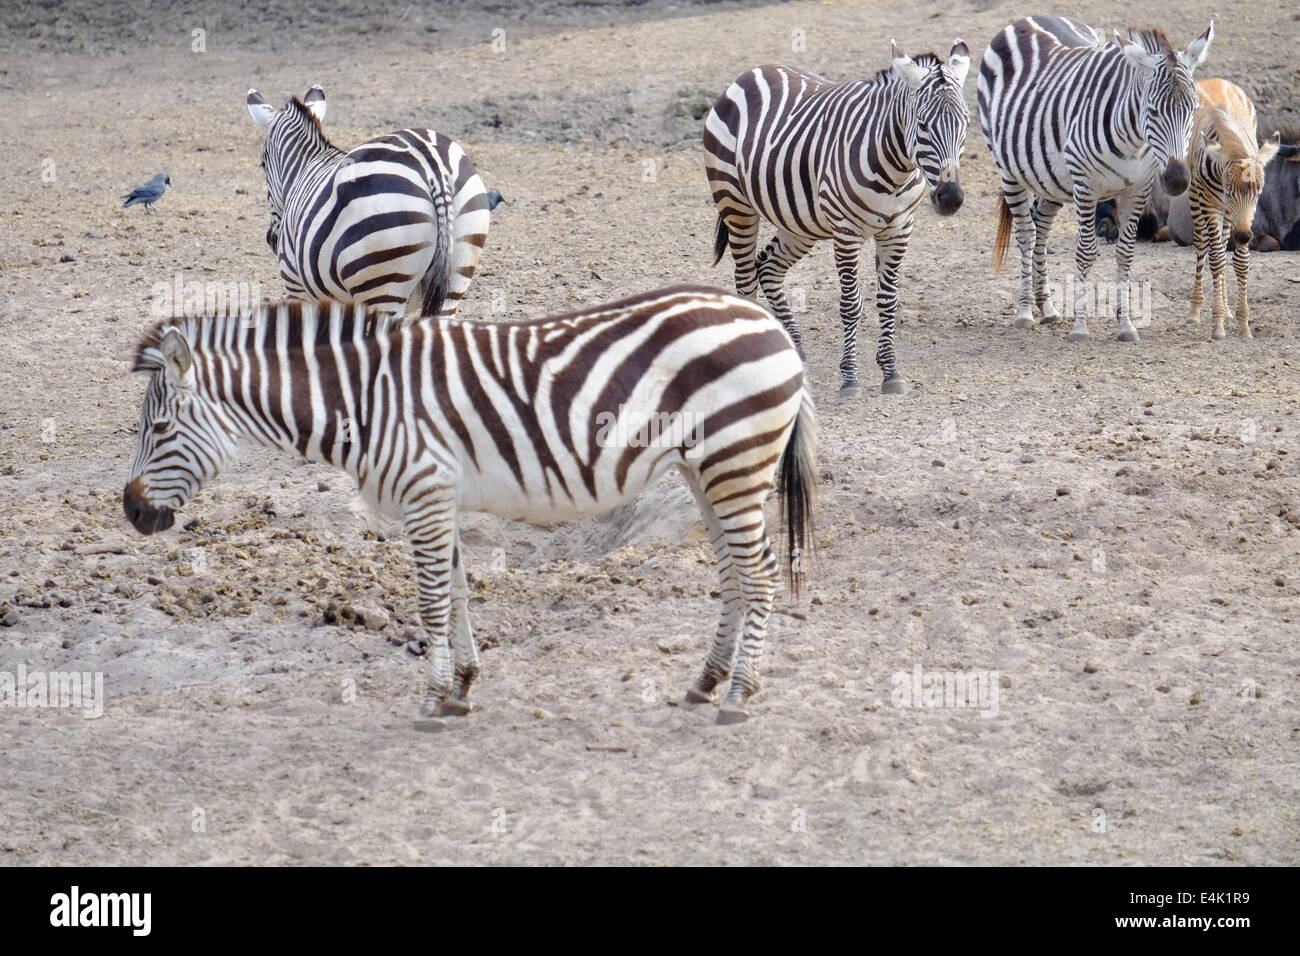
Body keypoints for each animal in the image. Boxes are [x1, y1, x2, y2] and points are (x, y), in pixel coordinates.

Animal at [122, 288, 817, 727]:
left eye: (157, 429)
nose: (130, 513)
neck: (365, 401)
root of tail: (767, 321)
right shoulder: (439, 497)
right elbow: (455, 590)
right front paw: (461, 687)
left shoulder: (424, 492)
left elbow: (430, 600)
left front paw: (432, 701)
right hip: (710, 470)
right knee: (734, 573)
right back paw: (706, 682)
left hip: (735, 461)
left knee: (758, 575)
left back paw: (738, 696)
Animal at [245, 85, 499, 320]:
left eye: (262, 163)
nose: (271, 239)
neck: (306, 166)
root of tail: (430, 161)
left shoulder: (295, 284)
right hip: (456, 275)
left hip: (382, 284)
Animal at [704, 40, 972, 397]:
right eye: (923, 124)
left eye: (966, 123)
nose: (951, 198)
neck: (897, 171)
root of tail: (750, 72)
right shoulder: (846, 232)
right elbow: (850, 304)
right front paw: (850, 377)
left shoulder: (899, 230)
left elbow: (888, 301)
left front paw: (891, 371)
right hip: (736, 203)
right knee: (746, 279)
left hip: (799, 222)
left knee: (768, 268)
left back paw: (794, 349)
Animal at [979, 17, 1214, 343]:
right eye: (1153, 111)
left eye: (1192, 109)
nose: (1177, 180)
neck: (1133, 141)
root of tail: (1027, 19)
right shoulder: (1084, 185)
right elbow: (1086, 252)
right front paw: (1080, 328)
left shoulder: (1138, 189)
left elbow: (1125, 253)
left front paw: (1125, 325)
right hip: (1010, 170)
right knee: (1026, 232)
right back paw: (1025, 312)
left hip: (1050, 177)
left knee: (1041, 226)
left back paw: (1046, 307)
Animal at [1186, 79, 1282, 340]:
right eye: (1229, 191)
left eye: (1258, 193)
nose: (1245, 236)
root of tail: (1215, 79)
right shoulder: (1212, 204)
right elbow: (1217, 259)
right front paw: (1217, 325)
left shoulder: (1245, 215)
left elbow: (1240, 262)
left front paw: (1242, 323)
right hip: (1197, 196)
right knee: (1203, 245)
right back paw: (1195, 311)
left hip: (1229, 216)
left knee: (1222, 241)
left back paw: (1227, 308)